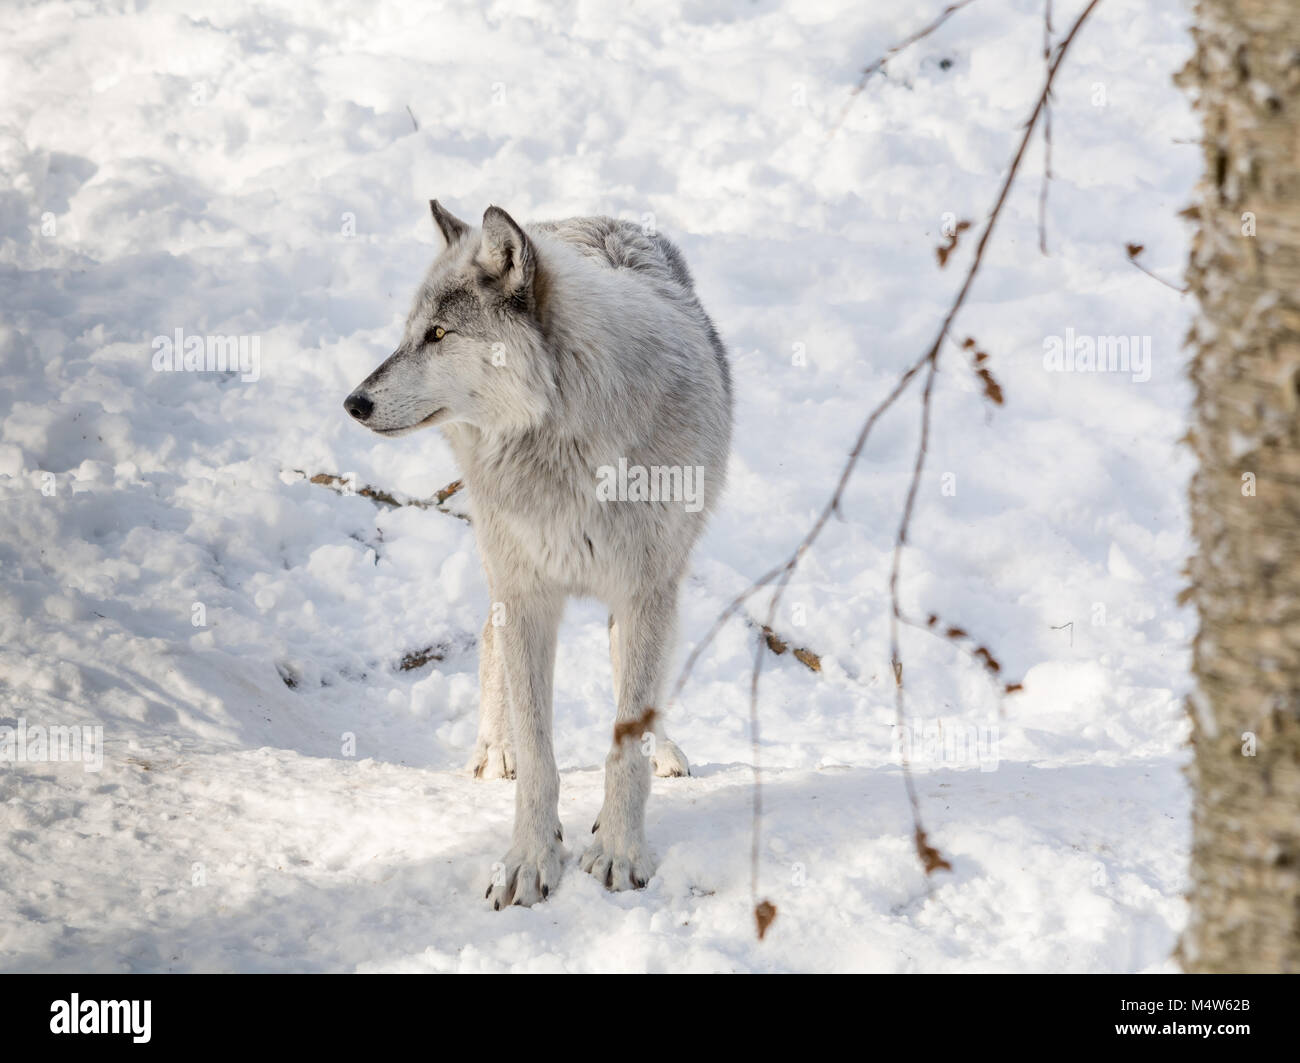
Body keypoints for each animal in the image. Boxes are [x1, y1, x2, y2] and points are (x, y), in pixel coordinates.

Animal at [345, 202, 731, 907]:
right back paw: (494, 749)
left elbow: (625, 742)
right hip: (501, 565)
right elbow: (539, 756)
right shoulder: (527, 596)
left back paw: (664, 749)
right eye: (410, 334)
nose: (353, 402)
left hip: (660, 590)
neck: (566, 441)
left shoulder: (644, 592)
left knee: (639, 684)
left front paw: (618, 852)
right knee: (488, 641)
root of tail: (589, 217)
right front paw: (529, 860)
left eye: (438, 334)